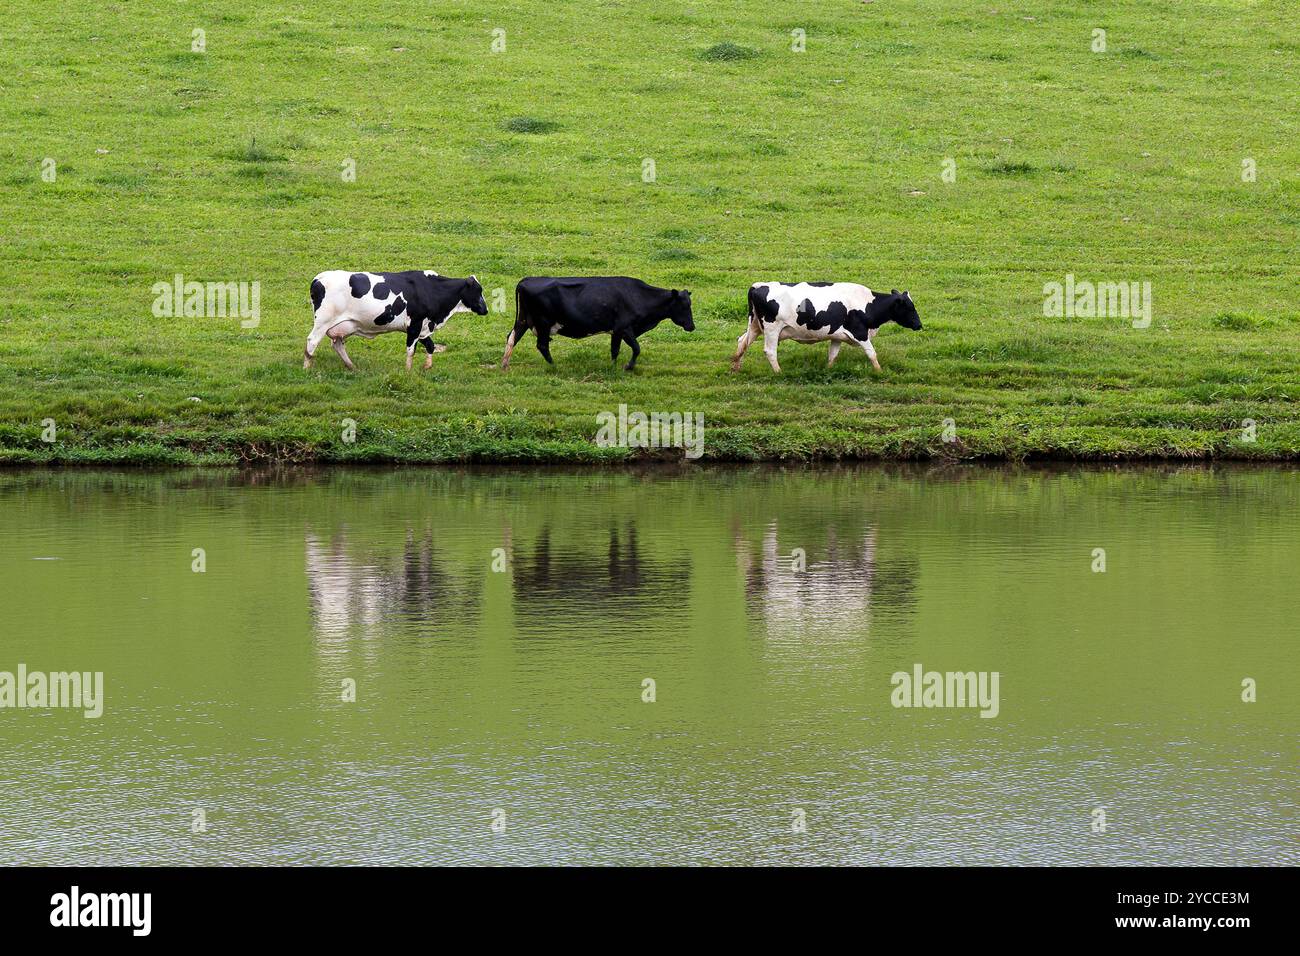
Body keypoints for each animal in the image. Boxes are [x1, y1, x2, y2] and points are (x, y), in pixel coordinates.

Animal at [304, 270, 488, 371]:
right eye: (478, 291)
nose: (486, 310)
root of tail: (318, 278)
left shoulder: (423, 326)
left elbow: (430, 345)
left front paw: (426, 367)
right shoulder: (415, 324)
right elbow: (411, 350)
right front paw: (408, 371)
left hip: (344, 325)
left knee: (337, 344)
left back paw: (351, 366)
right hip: (323, 321)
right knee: (312, 342)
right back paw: (307, 367)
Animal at [501, 276, 695, 371]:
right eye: (684, 305)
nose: (692, 326)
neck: (638, 296)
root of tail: (526, 280)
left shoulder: (618, 331)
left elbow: (616, 350)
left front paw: (614, 366)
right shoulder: (624, 328)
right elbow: (635, 348)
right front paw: (626, 367)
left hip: (523, 321)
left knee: (512, 338)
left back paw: (505, 365)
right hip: (543, 323)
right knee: (541, 345)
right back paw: (554, 366)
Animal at [731, 282, 921, 373]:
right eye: (910, 307)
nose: (919, 325)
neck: (867, 303)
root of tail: (758, 285)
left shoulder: (837, 335)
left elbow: (833, 355)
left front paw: (828, 369)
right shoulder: (860, 332)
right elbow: (872, 353)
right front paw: (879, 371)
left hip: (755, 326)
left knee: (742, 342)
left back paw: (735, 368)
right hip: (772, 329)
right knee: (770, 351)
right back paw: (778, 372)